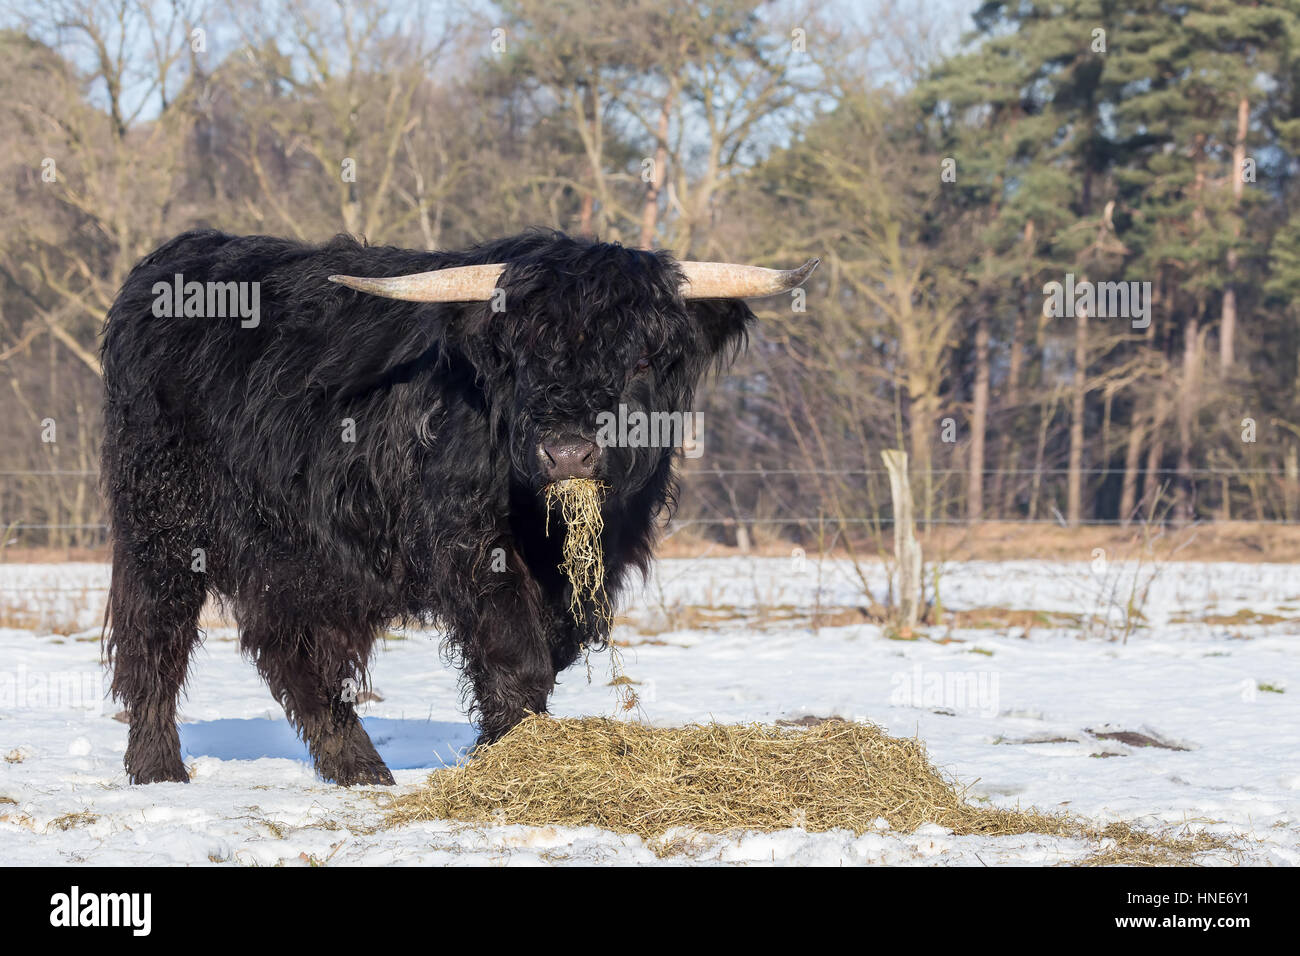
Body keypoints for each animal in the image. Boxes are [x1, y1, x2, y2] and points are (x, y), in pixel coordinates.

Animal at [101, 229, 816, 785]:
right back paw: (158, 768)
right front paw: (508, 761)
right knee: (155, 637)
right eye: (521, 358)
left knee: (292, 650)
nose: (567, 452)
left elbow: (549, 654)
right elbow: (515, 654)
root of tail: (176, 258)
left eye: (642, 358)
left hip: (300, 555)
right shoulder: (470, 543)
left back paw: (360, 769)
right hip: (162, 524)